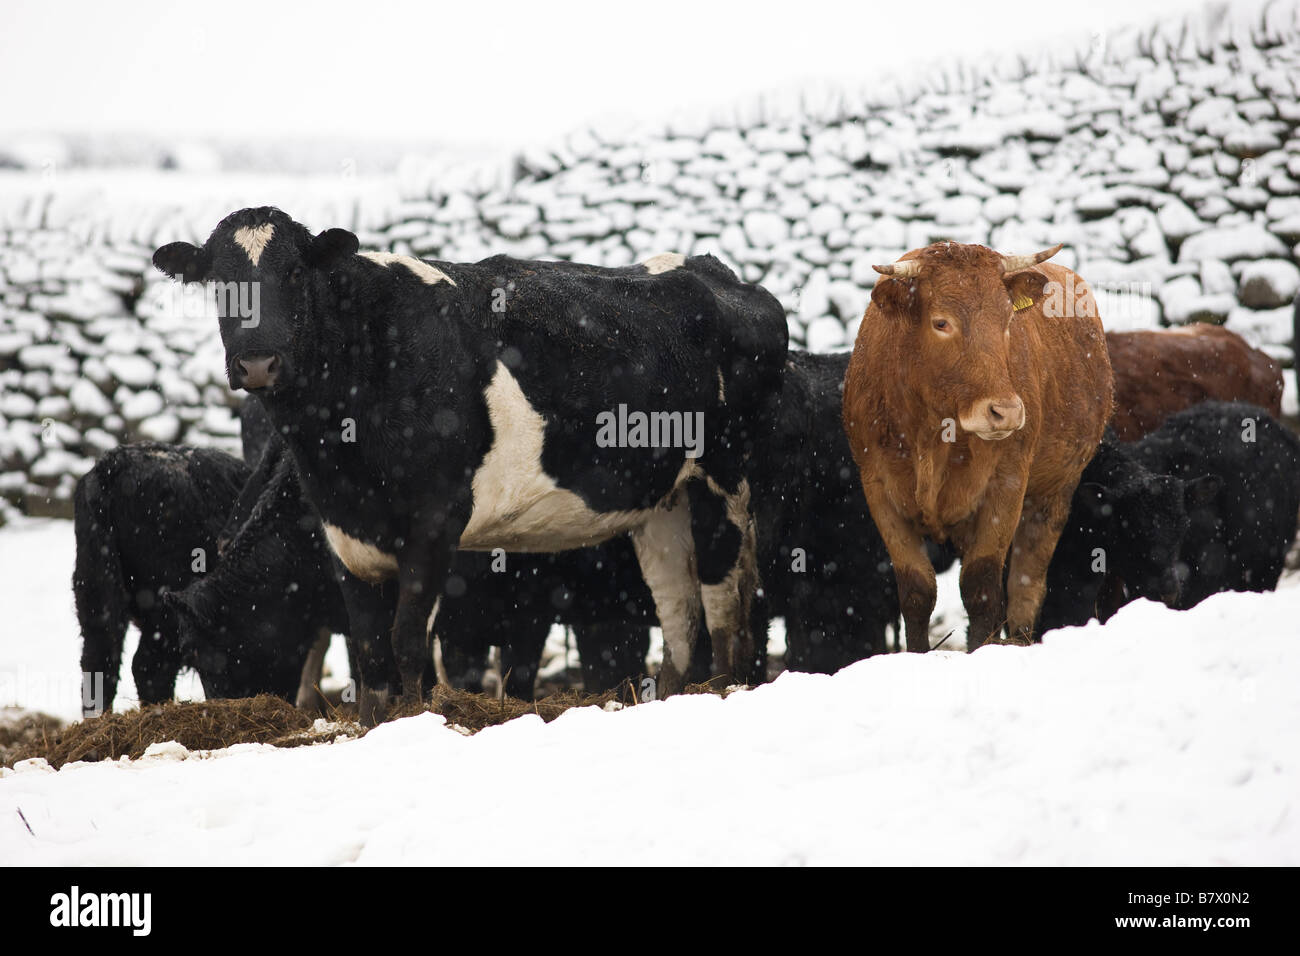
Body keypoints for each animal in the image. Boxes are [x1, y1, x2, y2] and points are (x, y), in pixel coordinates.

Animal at [153, 207, 787, 722]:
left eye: (293, 274)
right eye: (217, 283)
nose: (258, 362)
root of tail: (718, 273)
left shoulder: (437, 521)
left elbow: (407, 640)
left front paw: (416, 722)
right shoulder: (343, 532)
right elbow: (369, 652)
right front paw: (372, 727)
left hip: (725, 482)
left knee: (724, 607)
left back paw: (721, 687)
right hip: (661, 500)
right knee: (680, 612)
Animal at [842, 241, 1114, 651]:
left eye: (1007, 321)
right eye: (941, 322)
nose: (1006, 411)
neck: (931, 436)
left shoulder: (1006, 486)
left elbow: (981, 586)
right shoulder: (877, 487)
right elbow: (917, 589)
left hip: (1053, 494)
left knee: (1025, 586)